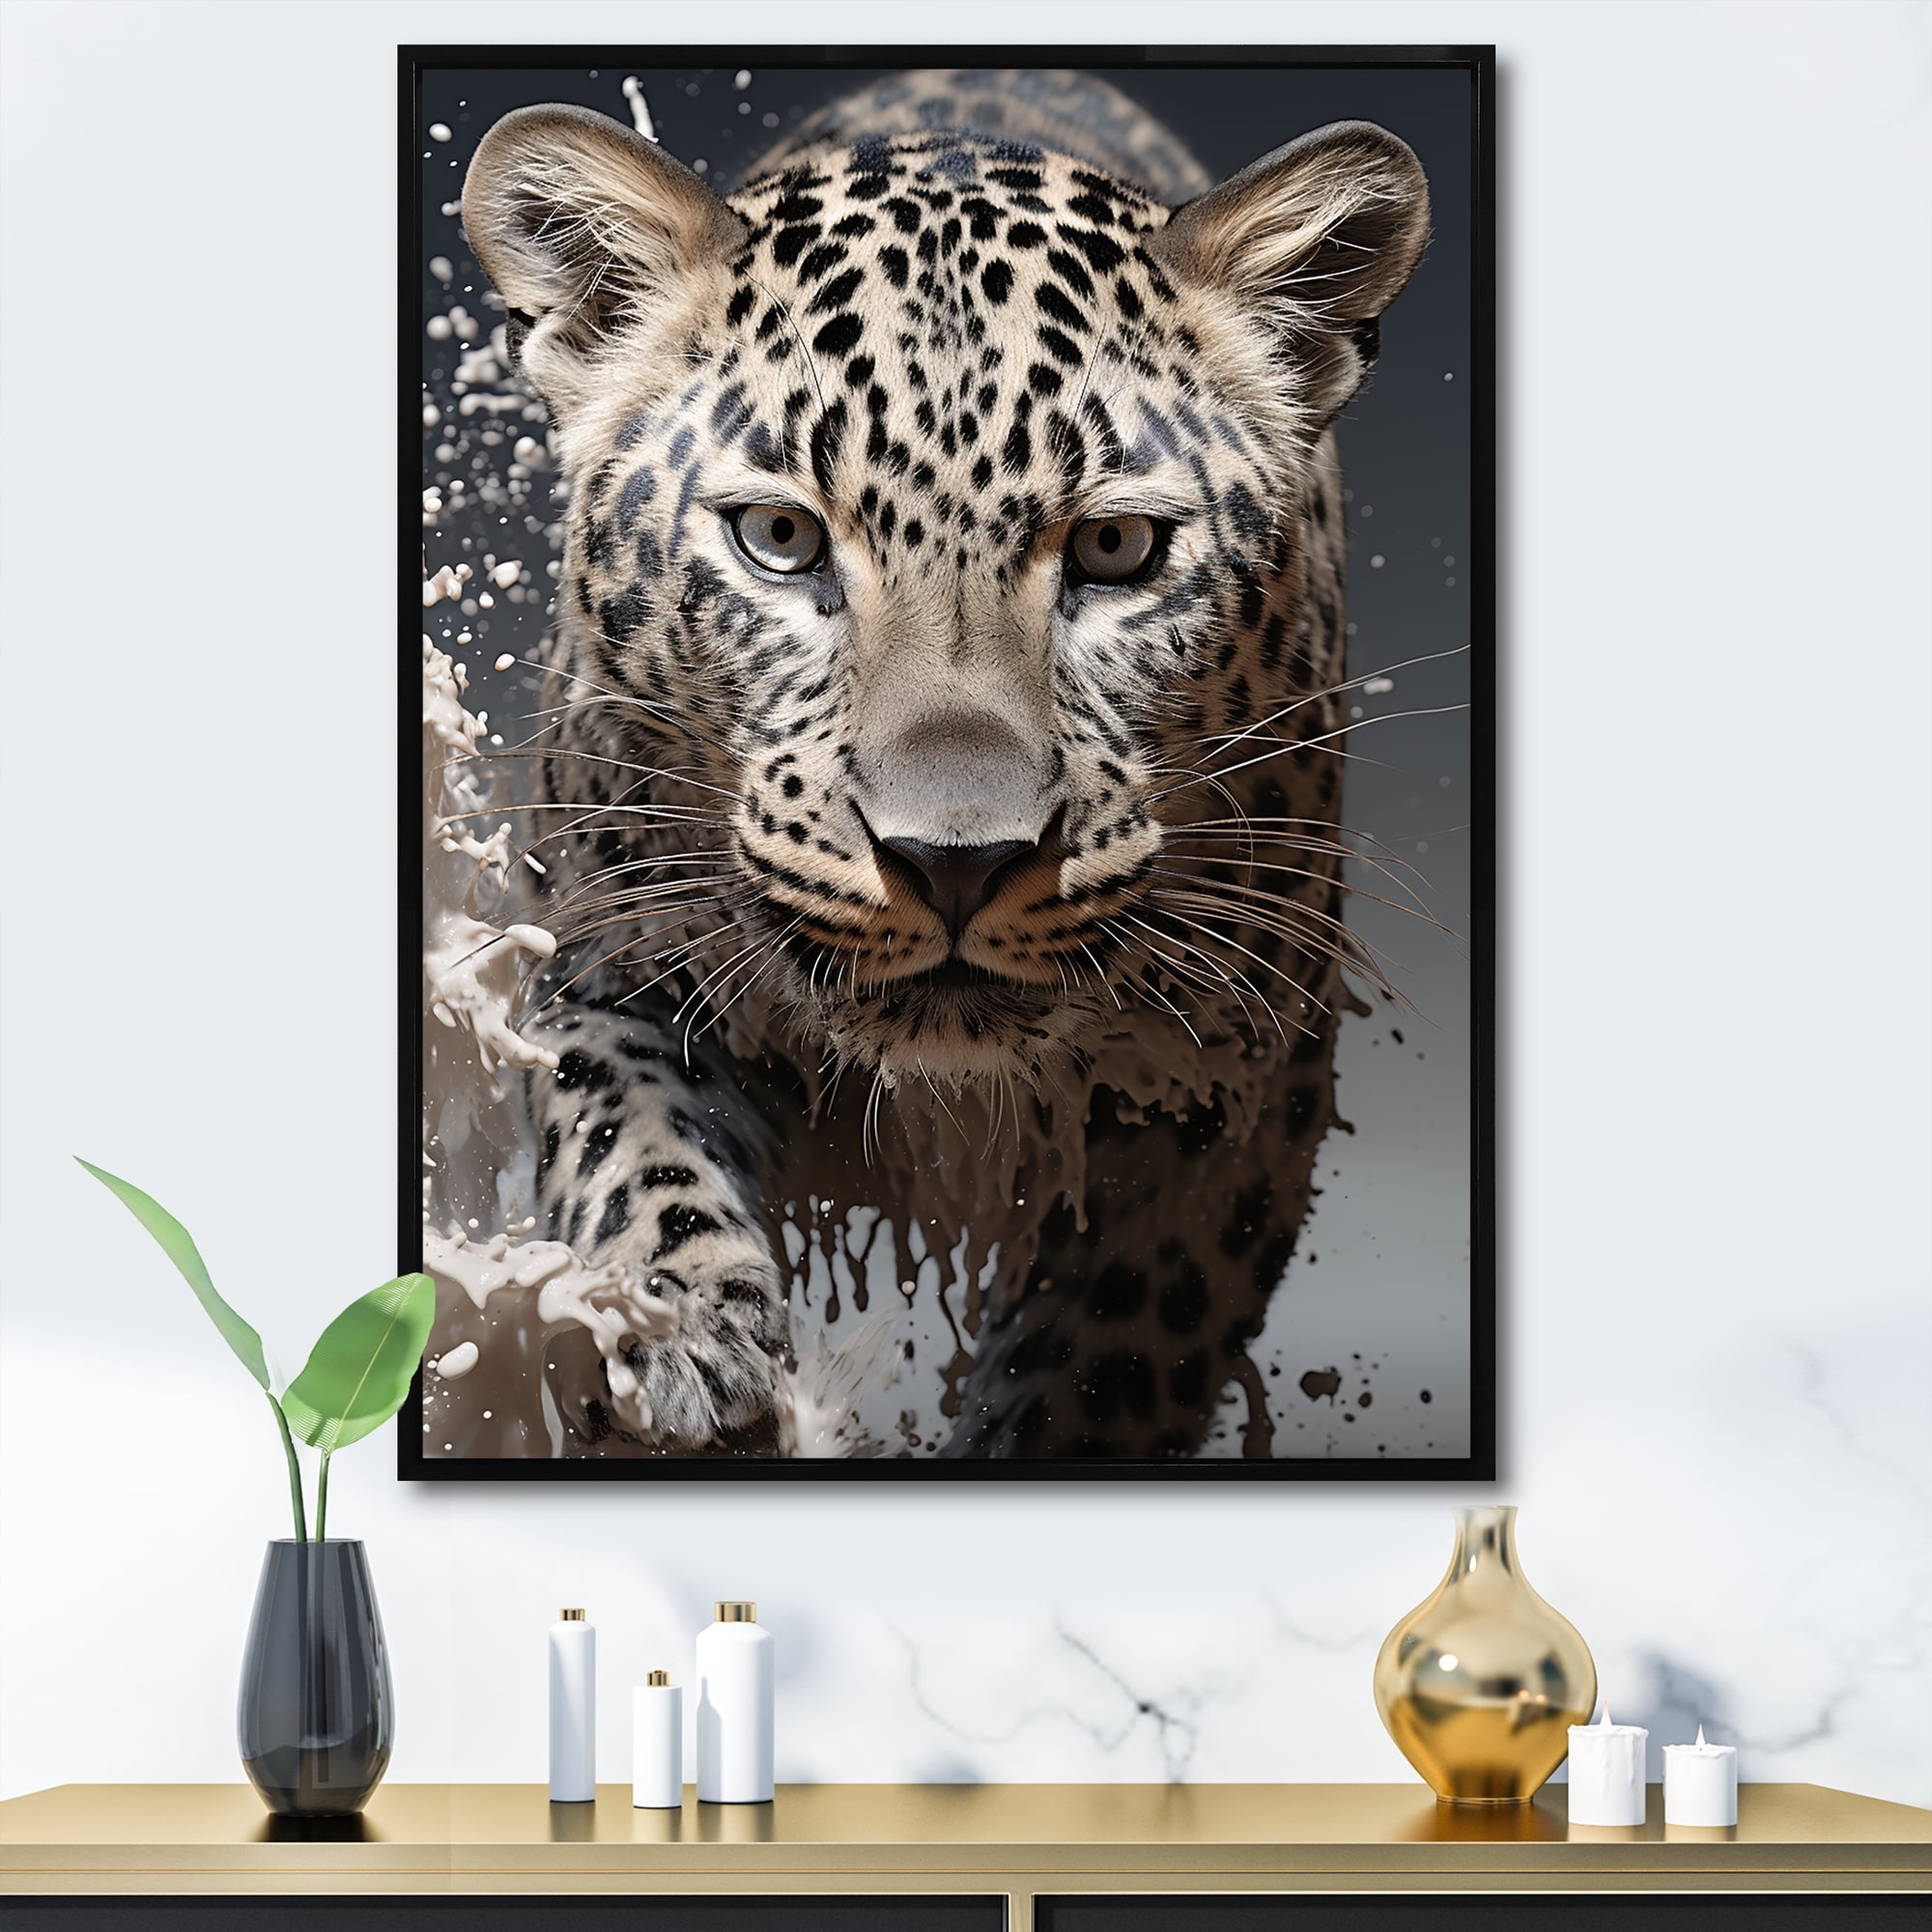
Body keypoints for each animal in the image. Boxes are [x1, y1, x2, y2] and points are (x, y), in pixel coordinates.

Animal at [457, 67, 1430, 1460]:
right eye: (778, 537)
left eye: (1118, 550)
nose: (953, 866)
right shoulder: (610, 955)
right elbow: (628, 1139)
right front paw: (683, 1337)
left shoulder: (1233, 1089)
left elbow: (1111, 1359)